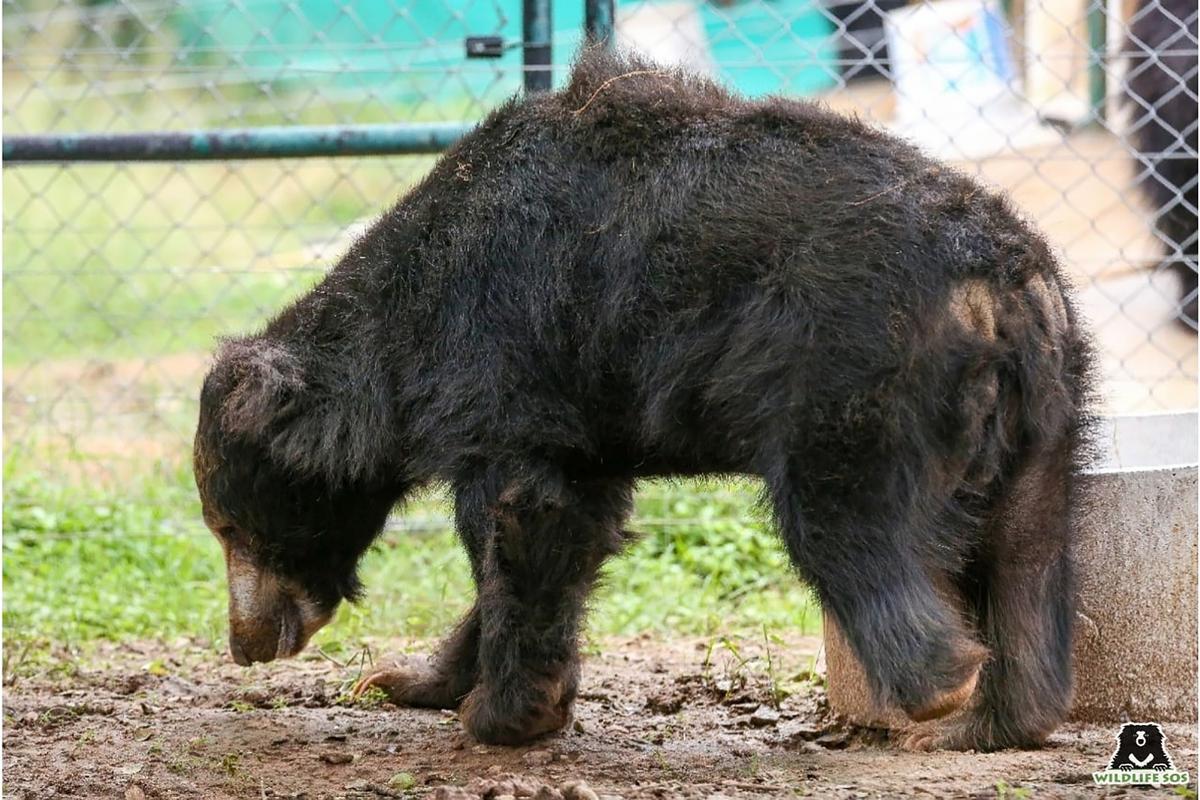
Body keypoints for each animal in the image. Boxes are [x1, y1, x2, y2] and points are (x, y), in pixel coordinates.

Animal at [193, 47, 1096, 752]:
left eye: (230, 528)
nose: (245, 642)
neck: (399, 328)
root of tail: (1000, 282)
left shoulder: (506, 356)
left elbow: (526, 521)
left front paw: (502, 714)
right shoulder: (583, 407)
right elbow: (559, 526)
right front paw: (407, 679)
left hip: (856, 387)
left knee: (848, 530)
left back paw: (938, 702)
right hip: (1050, 415)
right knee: (1027, 552)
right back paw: (1001, 720)